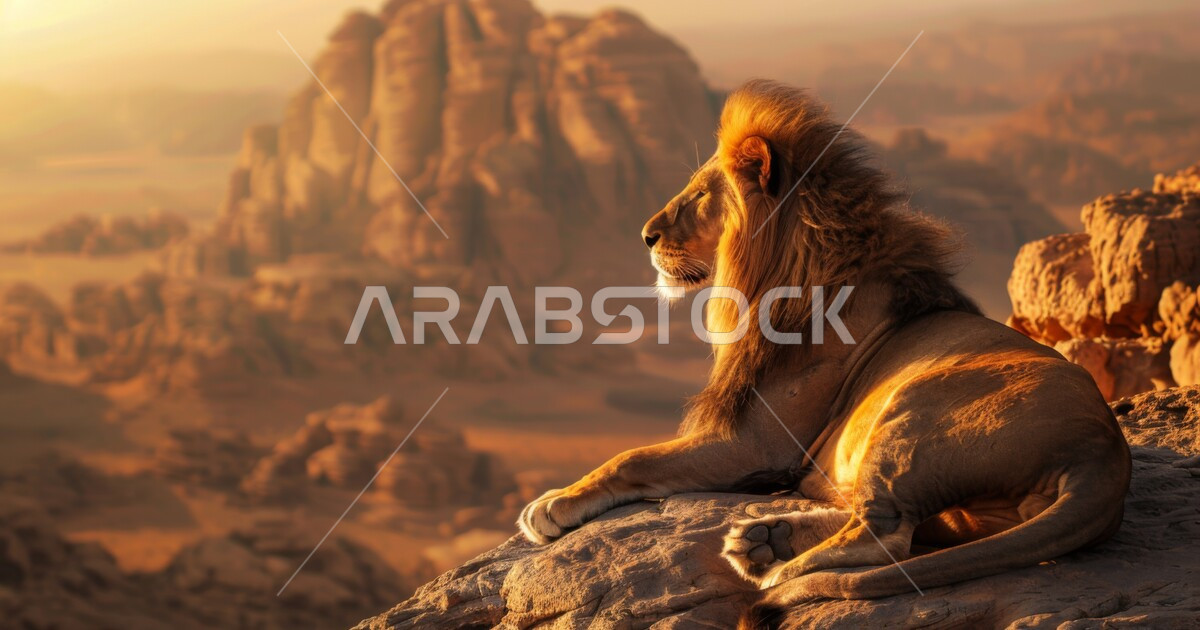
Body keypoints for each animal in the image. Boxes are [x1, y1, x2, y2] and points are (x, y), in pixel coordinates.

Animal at [518, 79, 1131, 624]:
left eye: (699, 196)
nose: (645, 235)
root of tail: (1100, 451)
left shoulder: (753, 445)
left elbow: (633, 456)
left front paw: (551, 504)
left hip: (914, 412)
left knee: (885, 537)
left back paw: (770, 569)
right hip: (963, 500)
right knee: (904, 525)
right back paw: (764, 537)